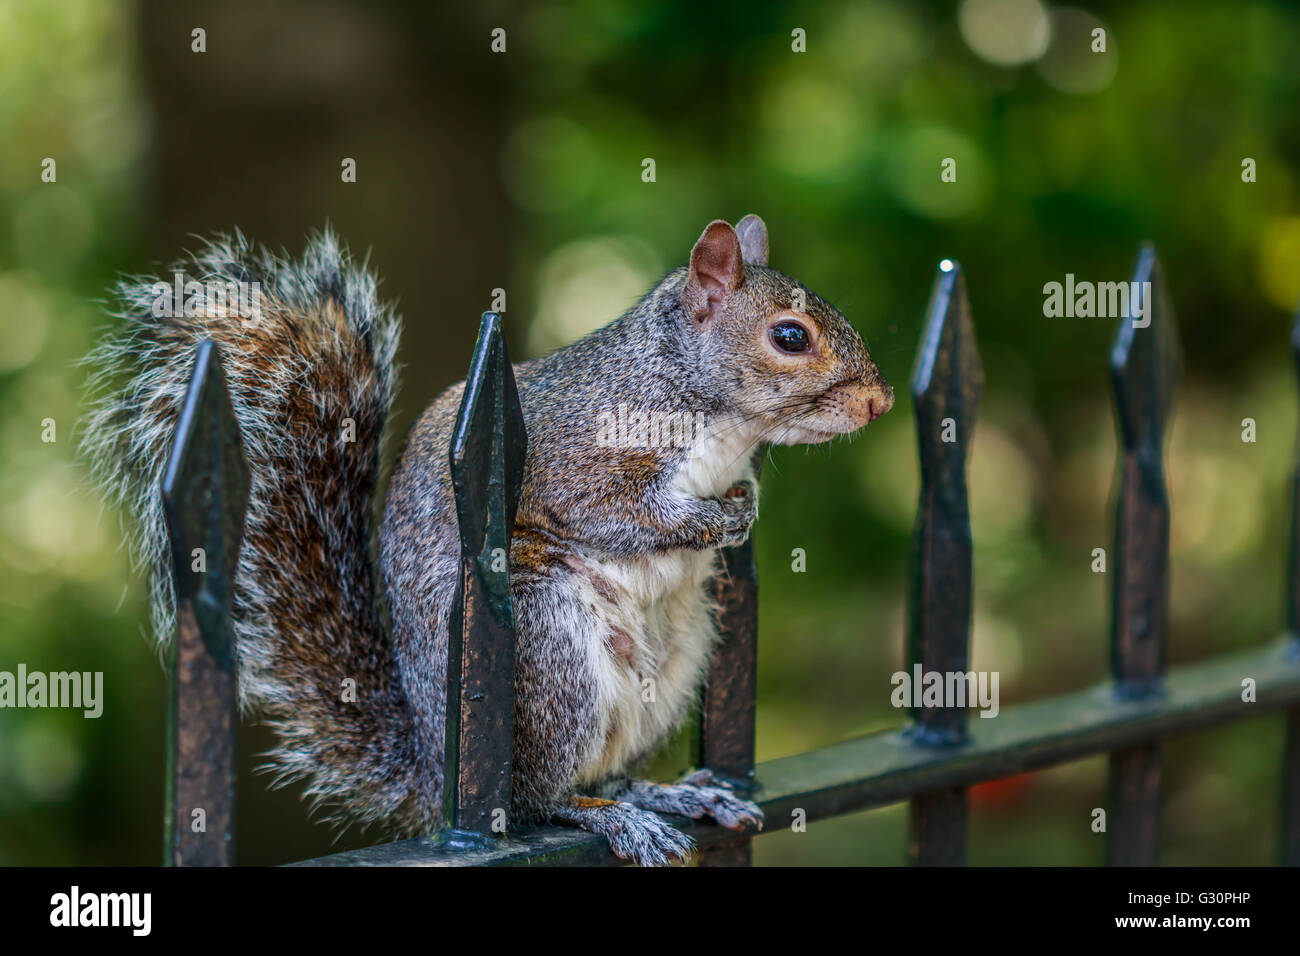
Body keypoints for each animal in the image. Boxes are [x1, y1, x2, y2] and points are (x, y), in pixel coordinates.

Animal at [81, 214, 894, 866]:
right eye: (789, 337)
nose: (880, 402)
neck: (710, 417)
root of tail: (437, 768)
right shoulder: (576, 464)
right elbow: (624, 515)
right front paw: (716, 522)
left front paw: (744, 508)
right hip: (550, 643)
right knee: (537, 799)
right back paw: (610, 818)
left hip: (675, 657)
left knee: (600, 771)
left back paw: (668, 796)